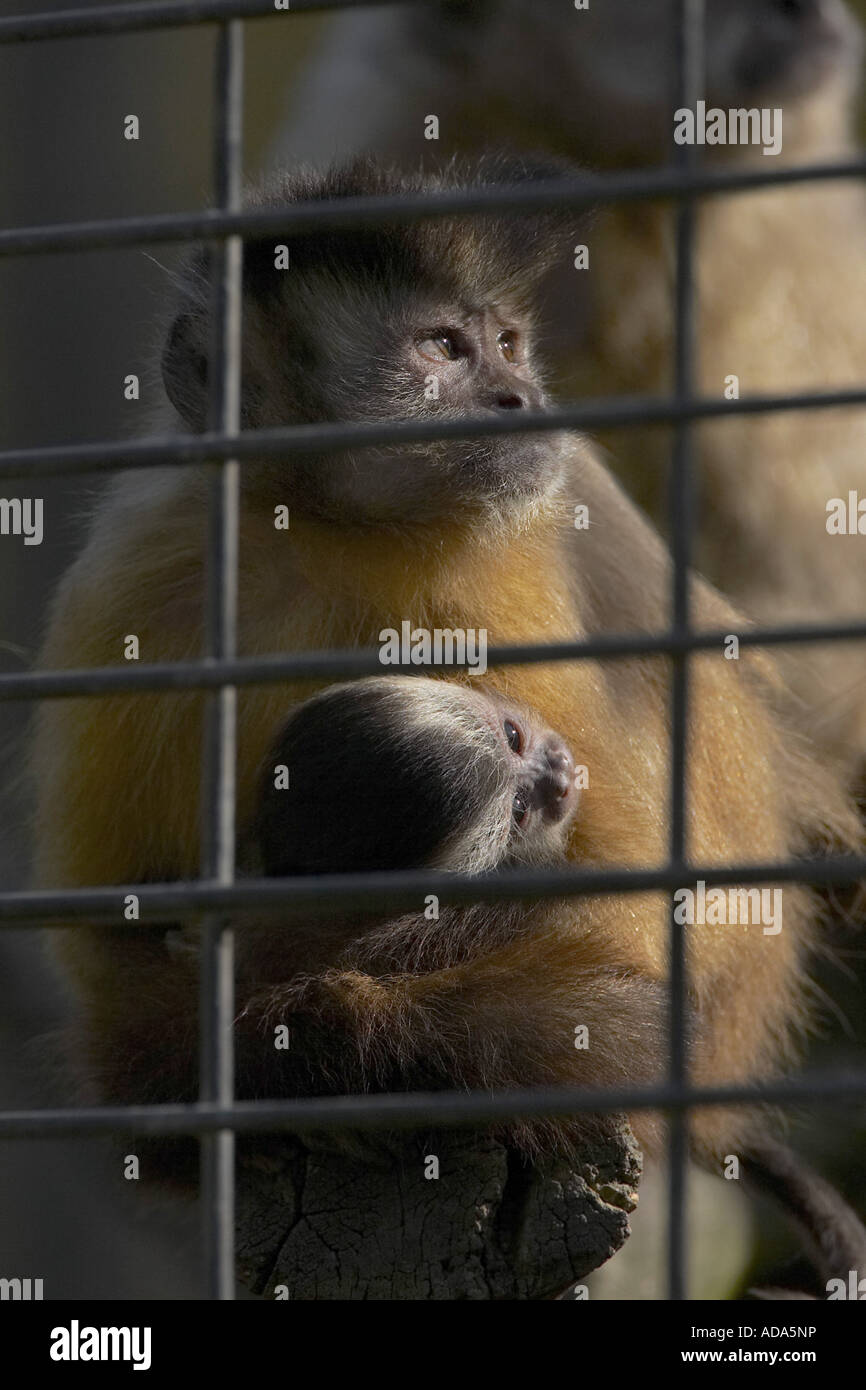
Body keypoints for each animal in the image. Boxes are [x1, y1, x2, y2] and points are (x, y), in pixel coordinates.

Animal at [32, 158, 861, 1191]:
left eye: (506, 343)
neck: (338, 532)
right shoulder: (148, 561)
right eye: (442, 347)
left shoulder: (545, 521)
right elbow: (117, 956)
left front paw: (330, 1020)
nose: (521, 396)